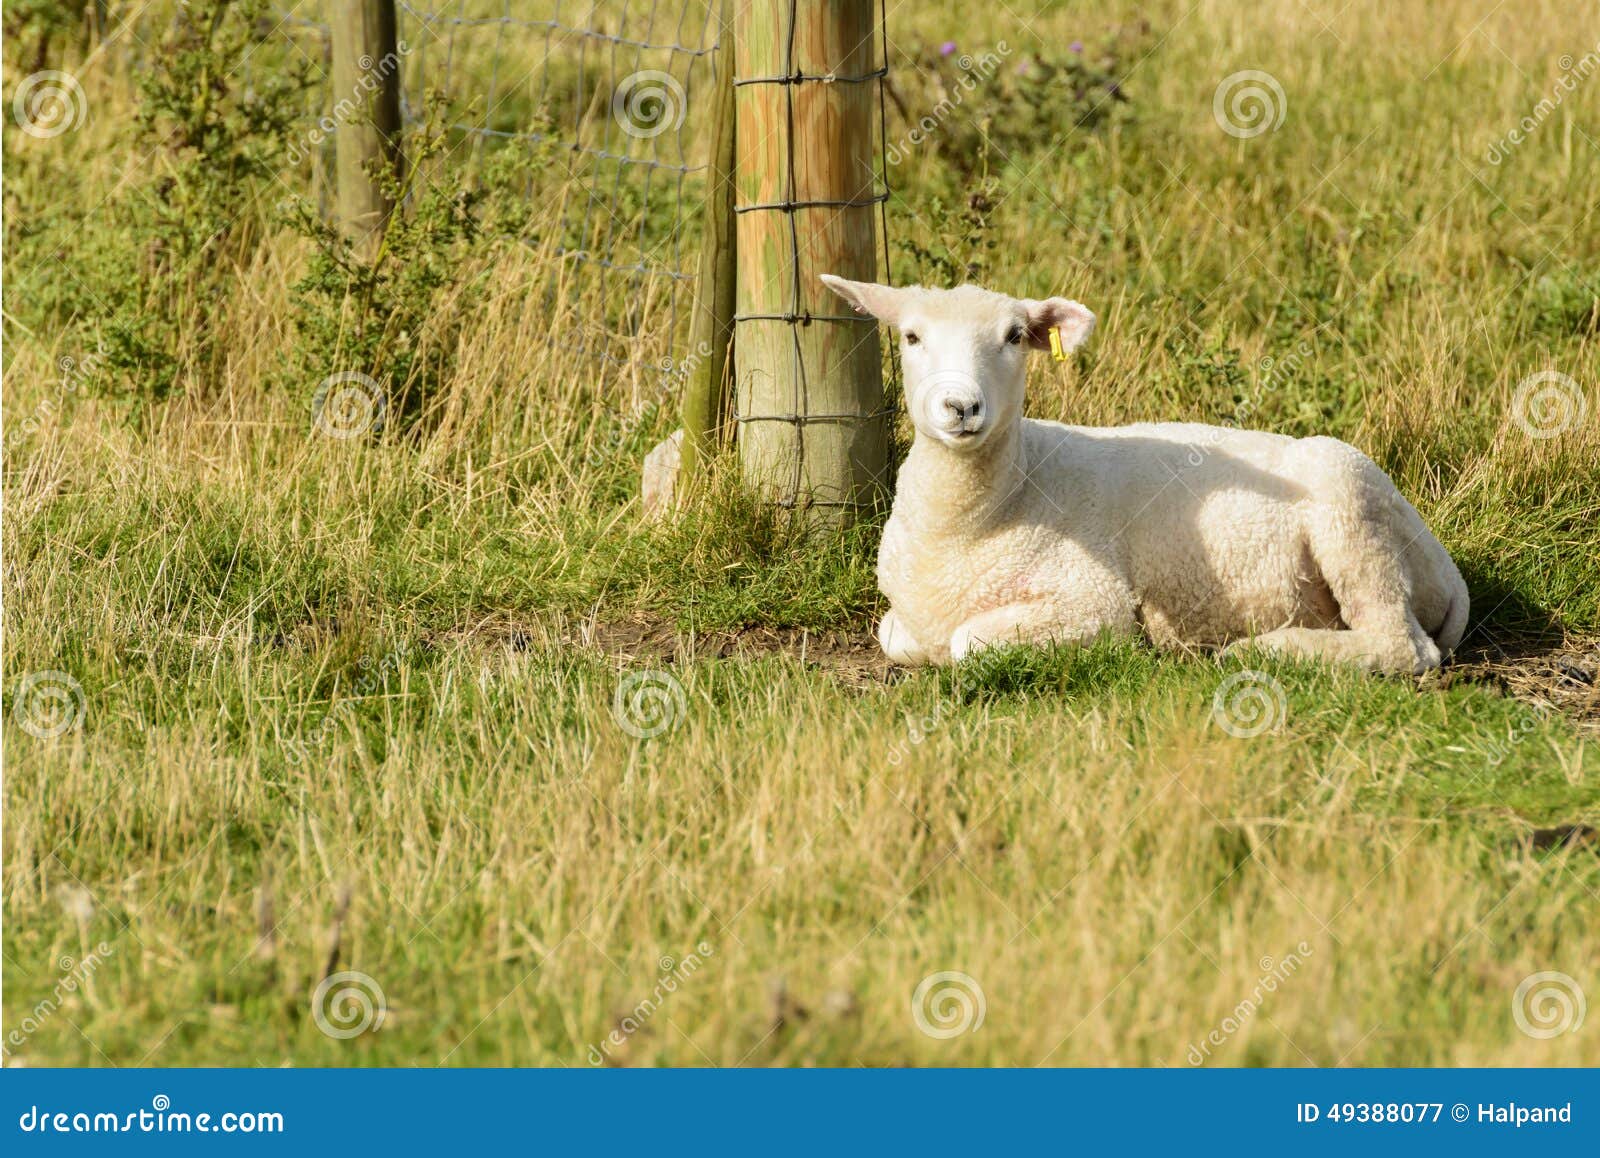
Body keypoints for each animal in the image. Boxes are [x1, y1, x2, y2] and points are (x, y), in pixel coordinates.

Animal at [818, 275, 1469, 675]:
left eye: (1014, 337)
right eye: (910, 336)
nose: (961, 407)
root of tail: (1442, 562)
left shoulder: (1092, 602)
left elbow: (966, 642)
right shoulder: (908, 617)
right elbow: (894, 636)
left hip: (1353, 515)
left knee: (1402, 645)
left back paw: (1264, 650)